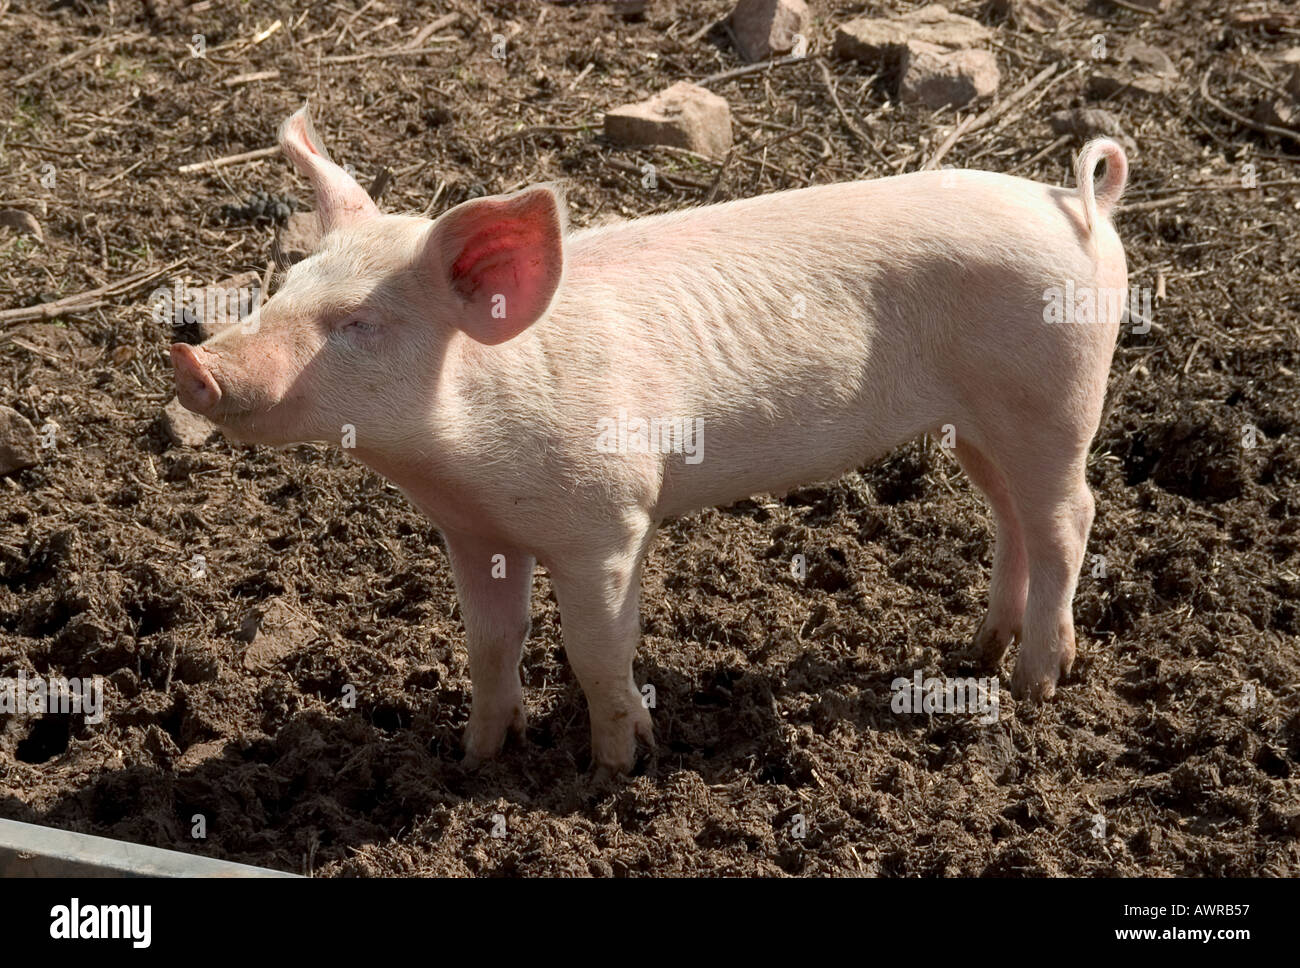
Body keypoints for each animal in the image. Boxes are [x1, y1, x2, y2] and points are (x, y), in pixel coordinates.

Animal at [171, 104, 1129, 775]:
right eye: (285, 284)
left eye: (359, 323)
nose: (193, 359)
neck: (455, 465)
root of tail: (1085, 210)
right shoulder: (473, 532)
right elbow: (491, 643)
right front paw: (477, 759)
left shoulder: (608, 520)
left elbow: (597, 649)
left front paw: (615, 767)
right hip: (980, 423)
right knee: (1010, 515)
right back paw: (981, 649)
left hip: (1053, 400)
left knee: (1070, 517)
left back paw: (1035, 682)